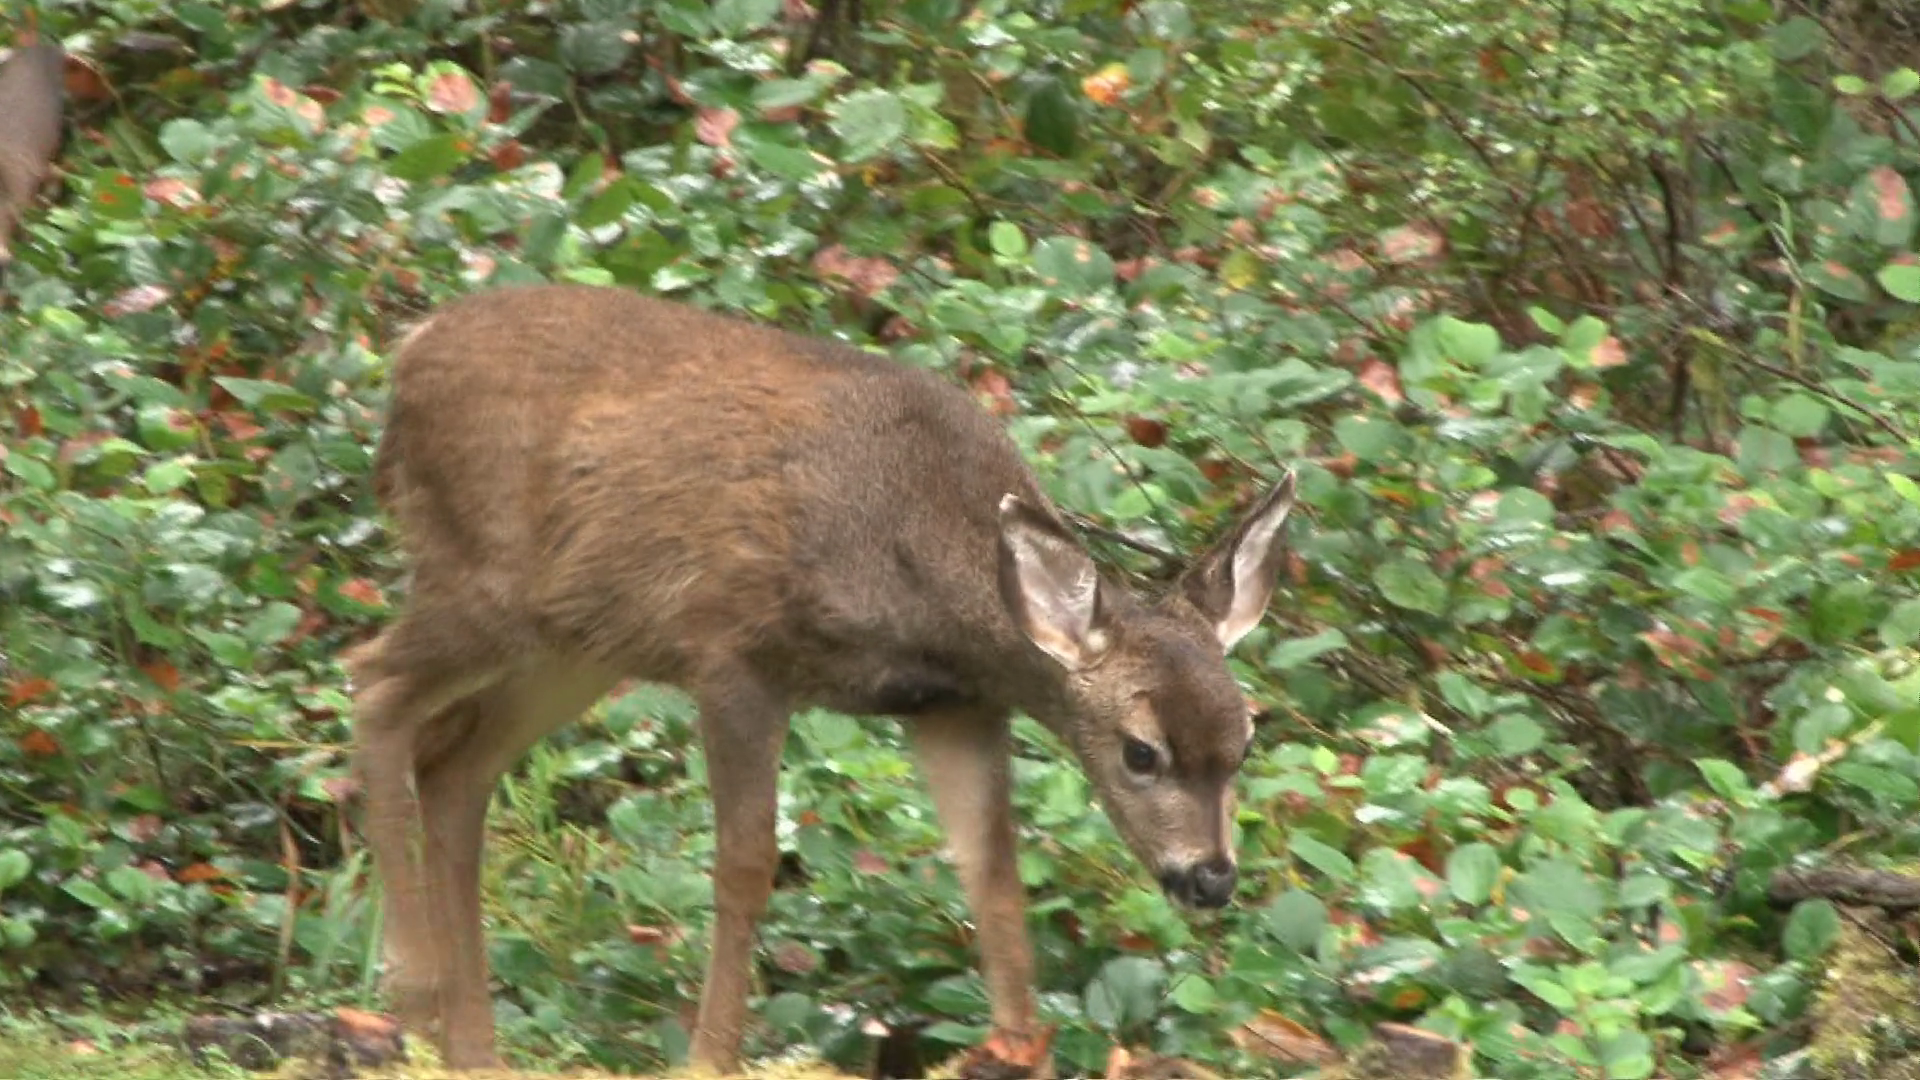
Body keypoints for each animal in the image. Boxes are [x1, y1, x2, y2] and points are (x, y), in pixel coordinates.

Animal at [344, 281, 1300, 1076]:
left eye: (1246, 742)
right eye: (1141, 752)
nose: (1211, 879)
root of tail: (409, 351)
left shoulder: (954, 705)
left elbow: (991, 871)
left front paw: (1017, 1046)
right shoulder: (735, 654)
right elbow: (744, 865)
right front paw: (710, 1057)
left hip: (577, 644)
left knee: (453, 760)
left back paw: (471, 1047)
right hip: (479, 579)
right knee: (373, 685)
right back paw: (410, 998)